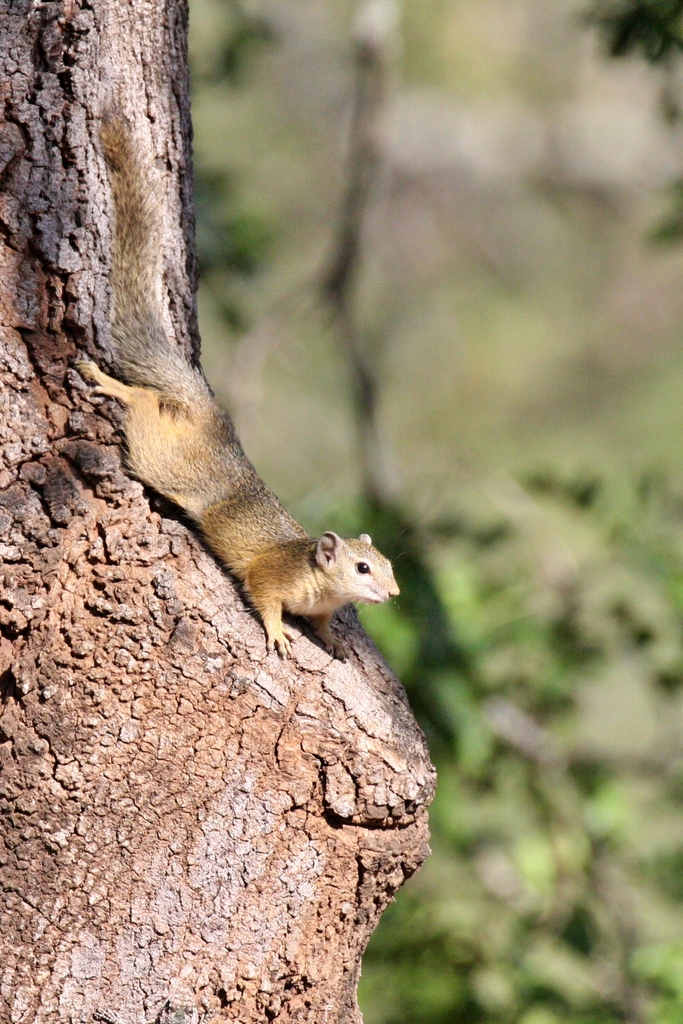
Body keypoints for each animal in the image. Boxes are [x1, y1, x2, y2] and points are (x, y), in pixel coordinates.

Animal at [78, 116, 399, 660]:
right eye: (362, 568)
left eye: (390, 566)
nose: (394, 593)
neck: (316, 577)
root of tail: (209, 415)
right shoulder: (271, 576)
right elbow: (263, 597)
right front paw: (279, 634)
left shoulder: (320, 607)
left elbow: (324, 625)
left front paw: (332, 641)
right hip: (163, 460)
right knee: (144, 401)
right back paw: (110, 385)